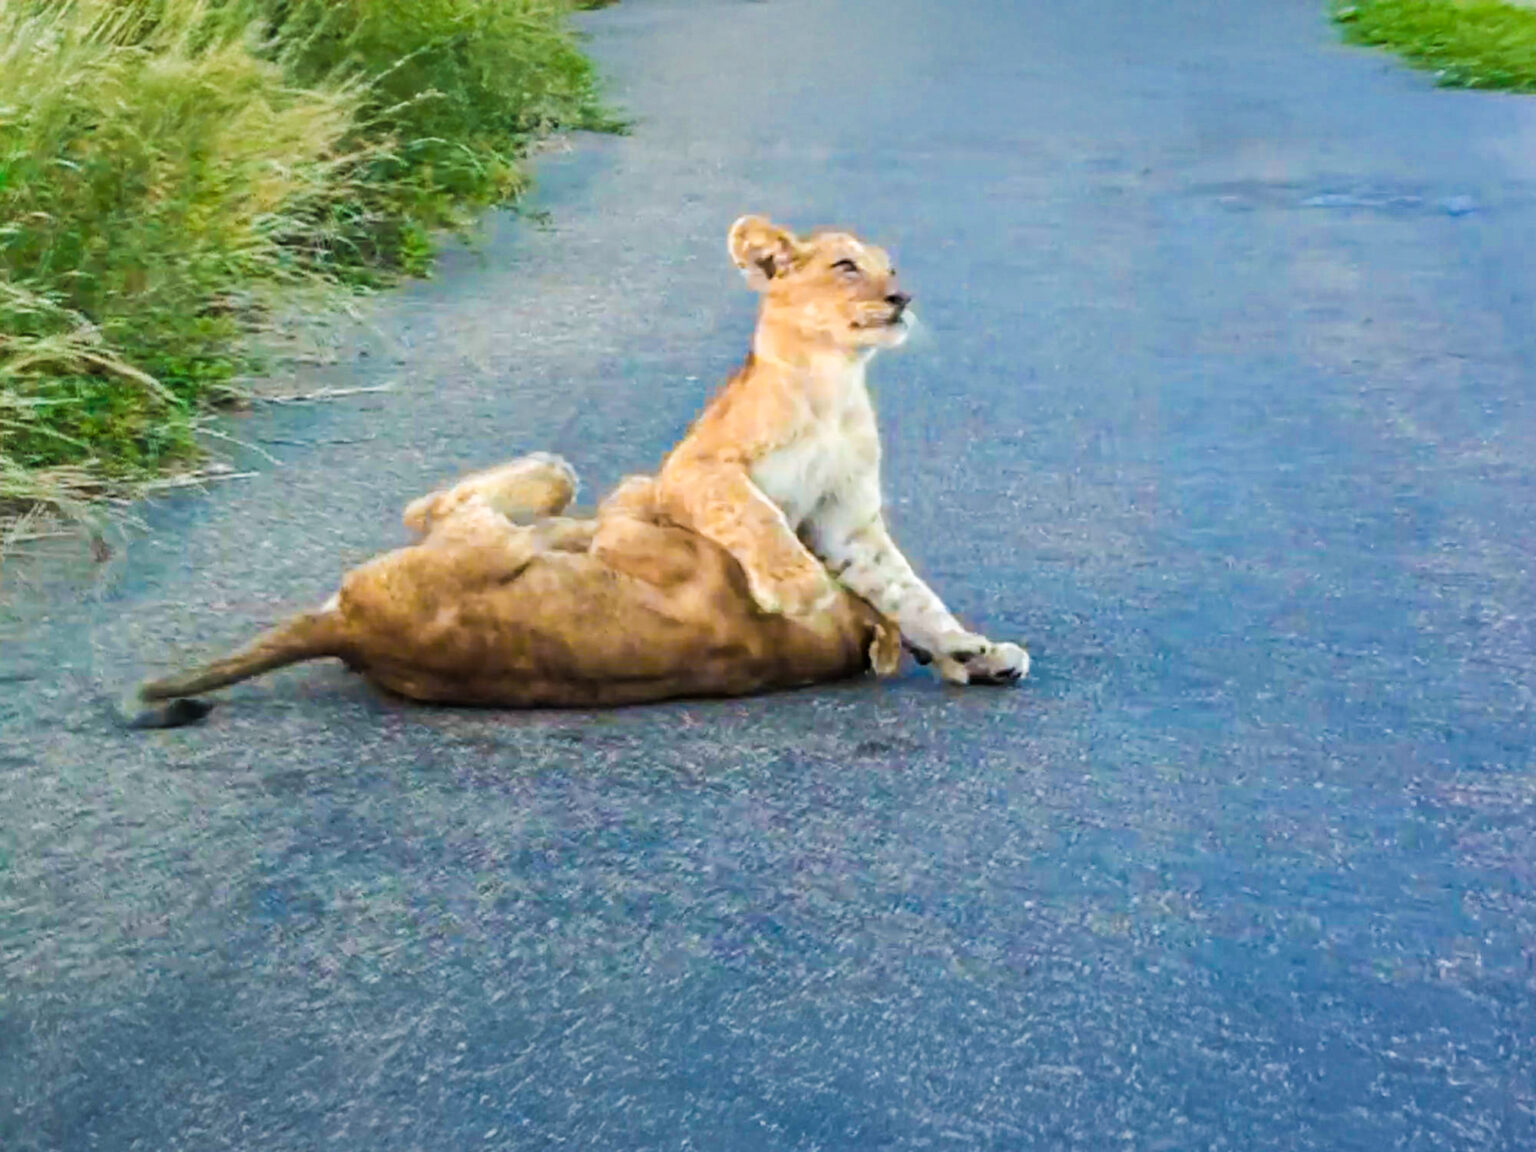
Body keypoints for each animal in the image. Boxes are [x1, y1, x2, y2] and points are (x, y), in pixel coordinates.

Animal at [646, 215, 1029, 686]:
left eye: (891, 269)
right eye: (846, 266)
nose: (902, 297)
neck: (833, 383)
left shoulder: (845, 518)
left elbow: (905, 586)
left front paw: (960, 641)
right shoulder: (690, 465)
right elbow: (753, 511)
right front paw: (798, 586)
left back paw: (981, 657)